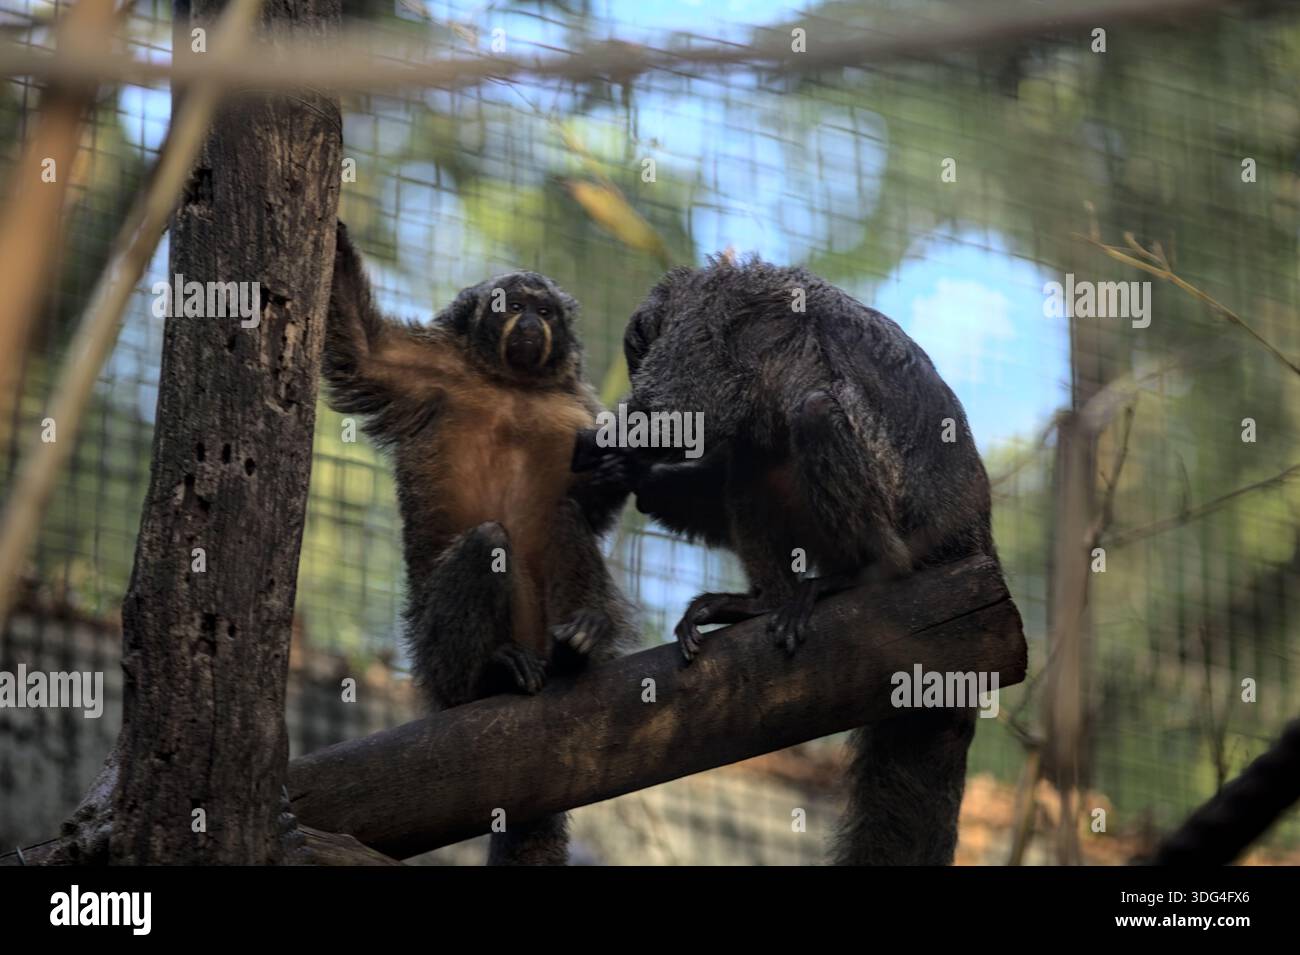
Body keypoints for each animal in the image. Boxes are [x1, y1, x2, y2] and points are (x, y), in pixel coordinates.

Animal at [322, 222, 638, 865]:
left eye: (544, 310)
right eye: (512, 306)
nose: (532, 321)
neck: (511, 383)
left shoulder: (578, 407)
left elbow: (591, 504)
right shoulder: (427, 368)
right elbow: (361, 350)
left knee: (563, 520)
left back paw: (582, 643)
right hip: (431, 655)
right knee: (485, 545)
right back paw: (489, 677)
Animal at [587, 255, 998, 865]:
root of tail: (973, 531)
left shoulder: (703, 329)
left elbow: (673, 413)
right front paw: (632, 478)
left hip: (907, 525)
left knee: (816, 413)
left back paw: (859, 575)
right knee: (756, 451)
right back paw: (762, 603)